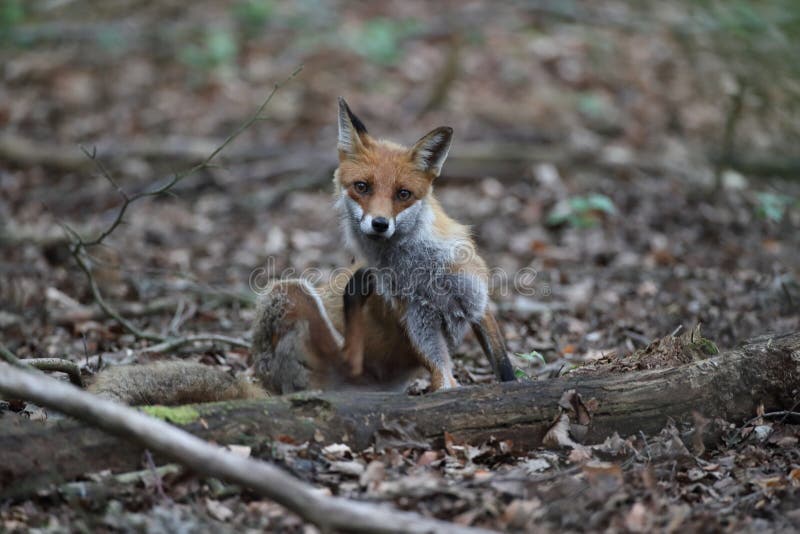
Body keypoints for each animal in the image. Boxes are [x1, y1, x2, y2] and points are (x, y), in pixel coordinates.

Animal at [88, 98, 515, 404]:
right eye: (362, 187)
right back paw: (354, 296)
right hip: (289, 291)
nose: (379, 224)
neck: (420, 268)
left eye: (403, 194)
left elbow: (503, 363)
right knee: (347, 356)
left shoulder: (475, 301)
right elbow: (441, 370)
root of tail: (268, 387)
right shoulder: (416, 319)